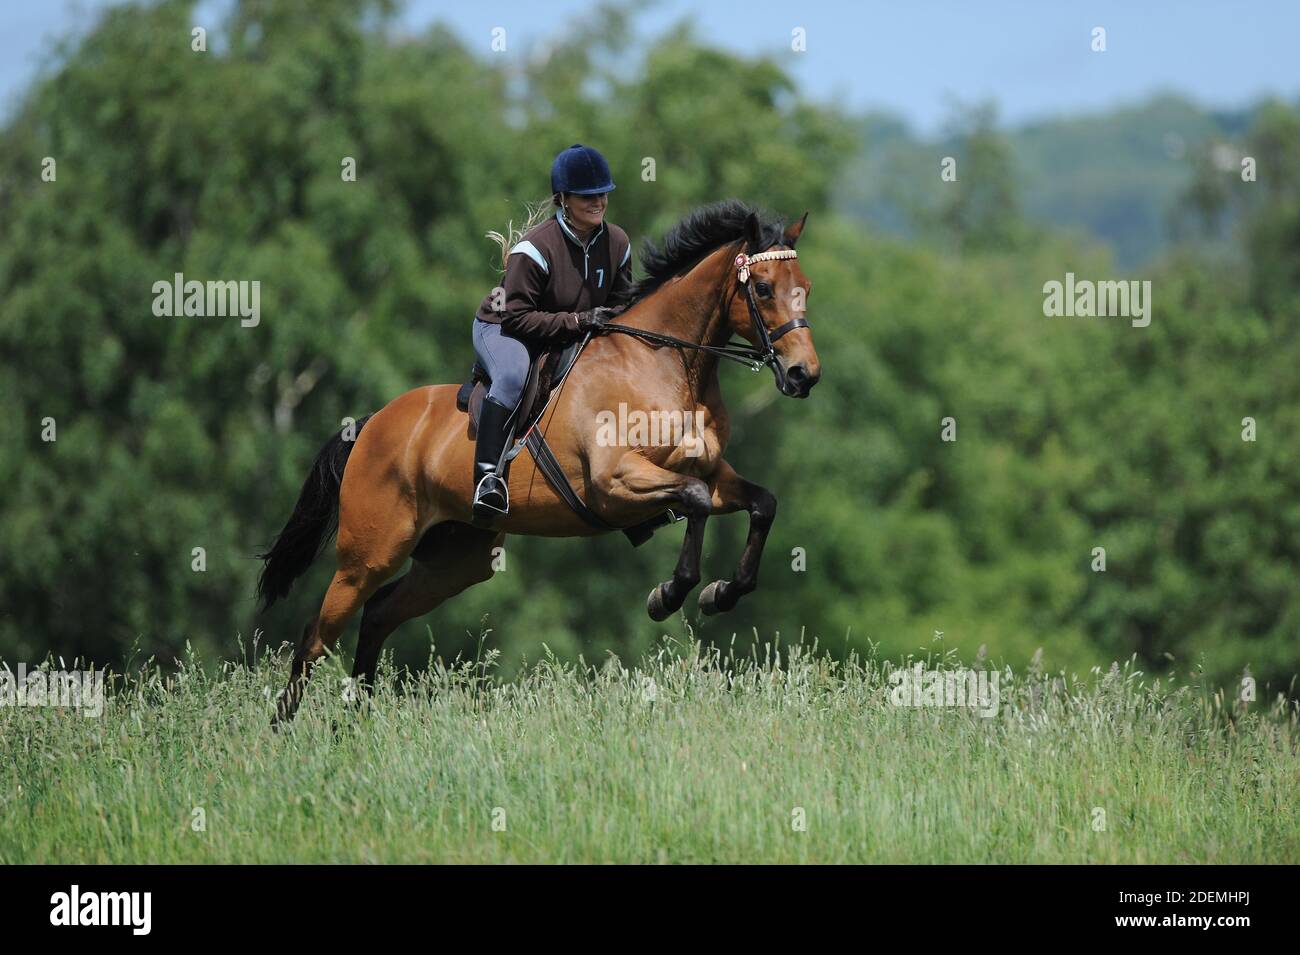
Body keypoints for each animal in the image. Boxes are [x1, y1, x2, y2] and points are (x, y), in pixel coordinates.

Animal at [257, 200, 821, 724]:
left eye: (806, 287)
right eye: (763, 288)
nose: (804, 375)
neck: (665, 363)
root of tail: (371, 424)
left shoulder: (710, 472)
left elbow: (761, 504)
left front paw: (721, 593)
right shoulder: (616, 483)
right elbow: (696, 500)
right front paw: (669, 594)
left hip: (457, 559)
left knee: (377, 615)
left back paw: (357, 722)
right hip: (369, 553)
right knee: (315, 636)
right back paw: (285, 734)